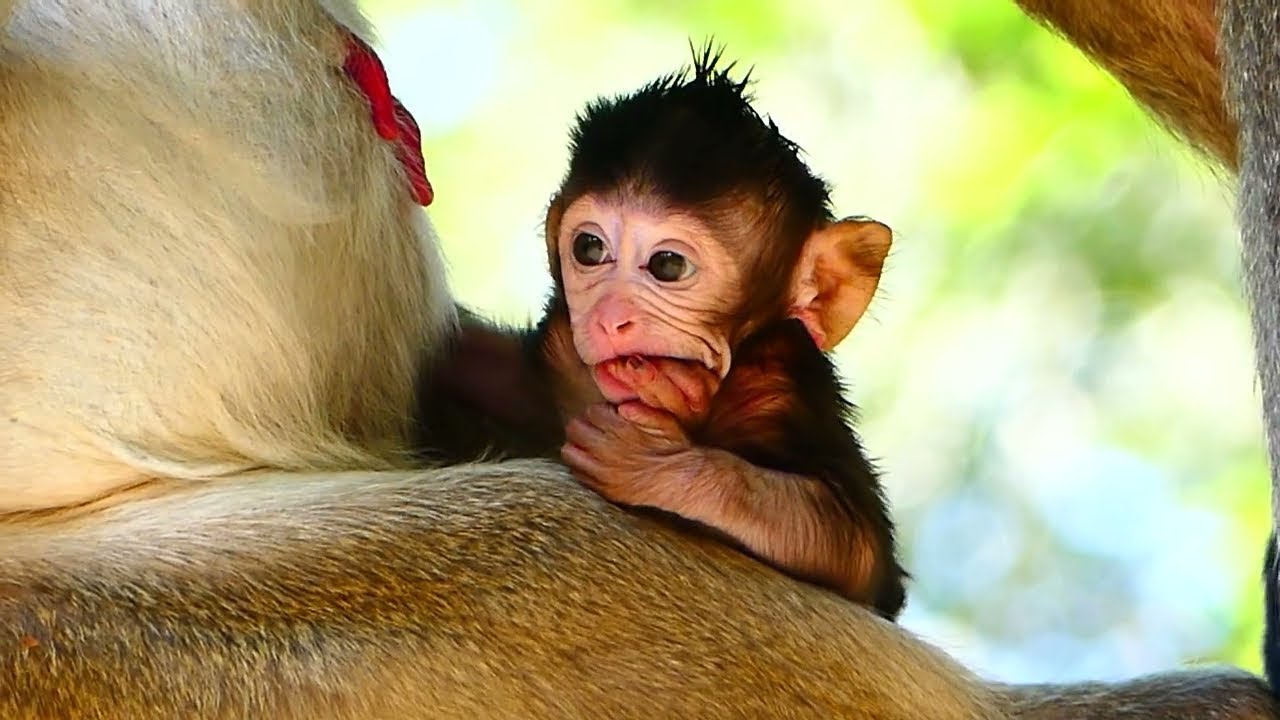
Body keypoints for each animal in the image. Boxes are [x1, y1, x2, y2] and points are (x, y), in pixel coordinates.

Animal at [416, 52, 906, 617]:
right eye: (589, 249)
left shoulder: (779, 379)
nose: (609, 317)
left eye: (668, 265)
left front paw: (654, 460)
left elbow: (856, 550)